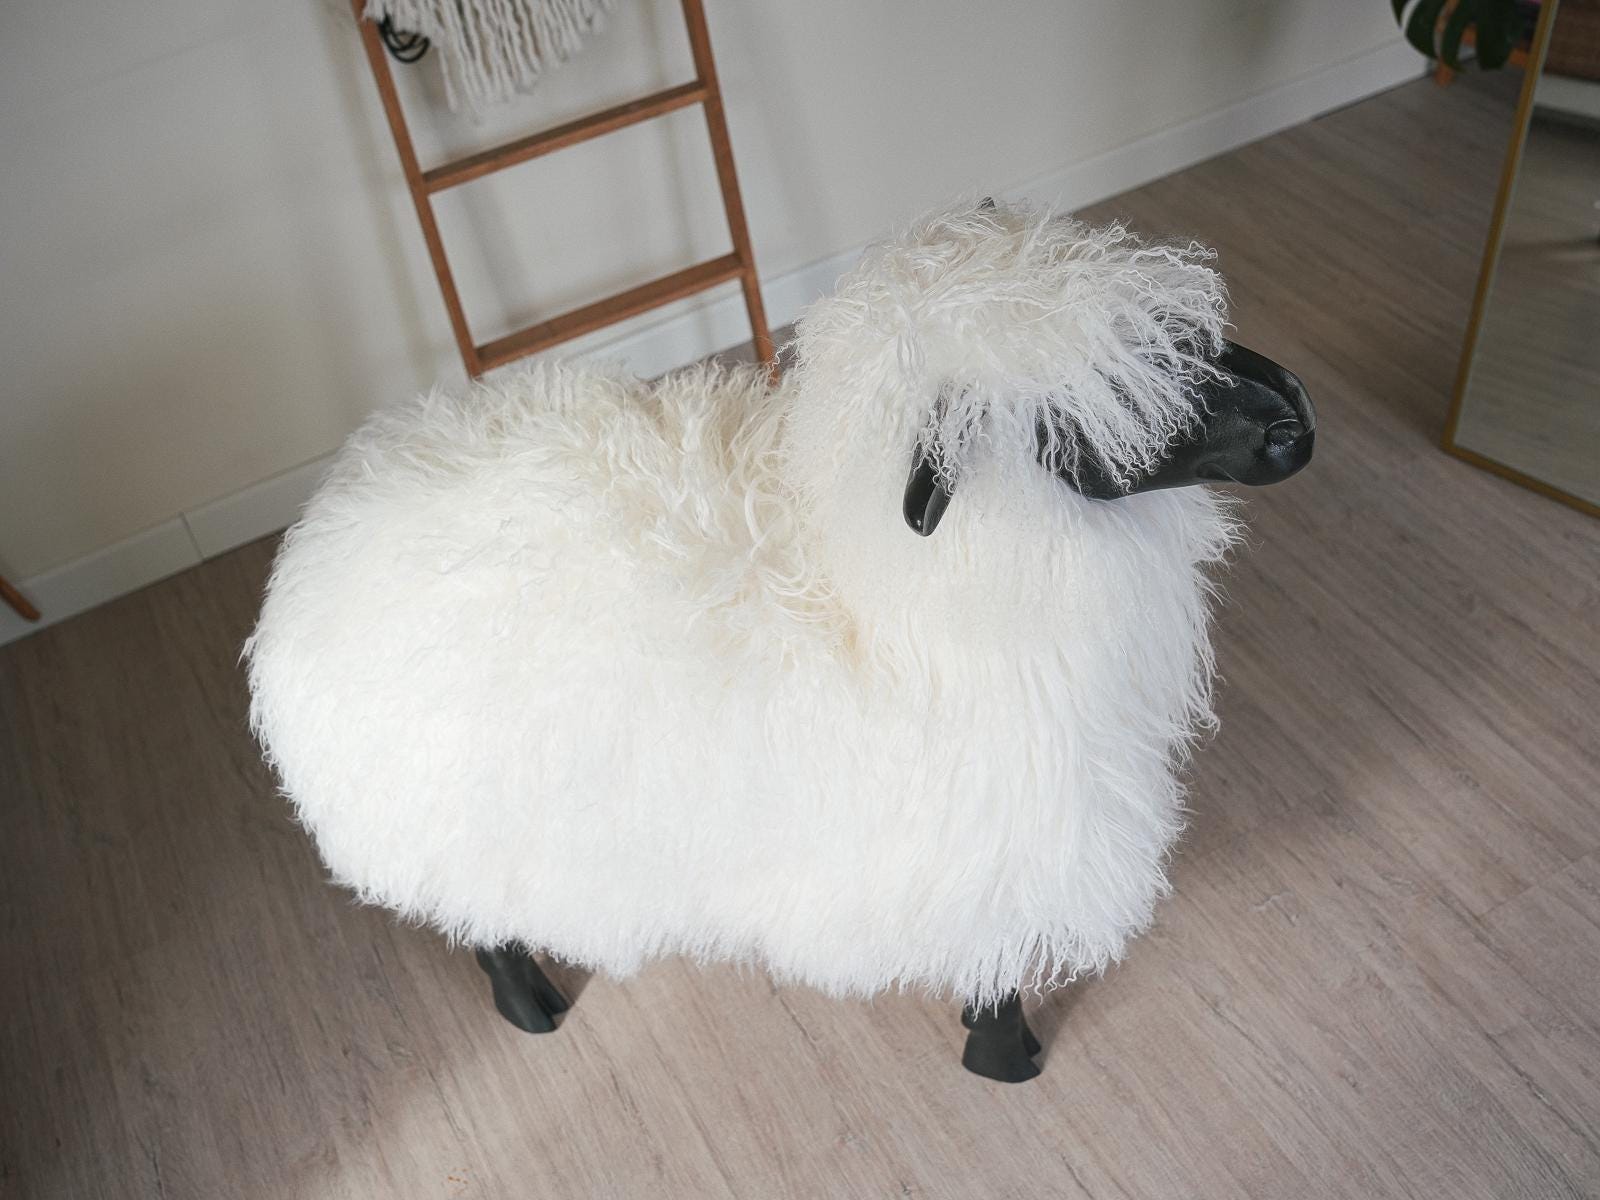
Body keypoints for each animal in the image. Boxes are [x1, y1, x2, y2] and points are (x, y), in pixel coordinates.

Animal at [245, 198, 1314, 1082]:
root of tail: (332, 511)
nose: (1295, 420)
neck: (888, 606)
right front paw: (1005, 1059)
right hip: (446, 818)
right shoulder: (991, 850)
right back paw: (531, 1006)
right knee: (480, 924)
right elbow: (999, 972)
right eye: (1085, 413)